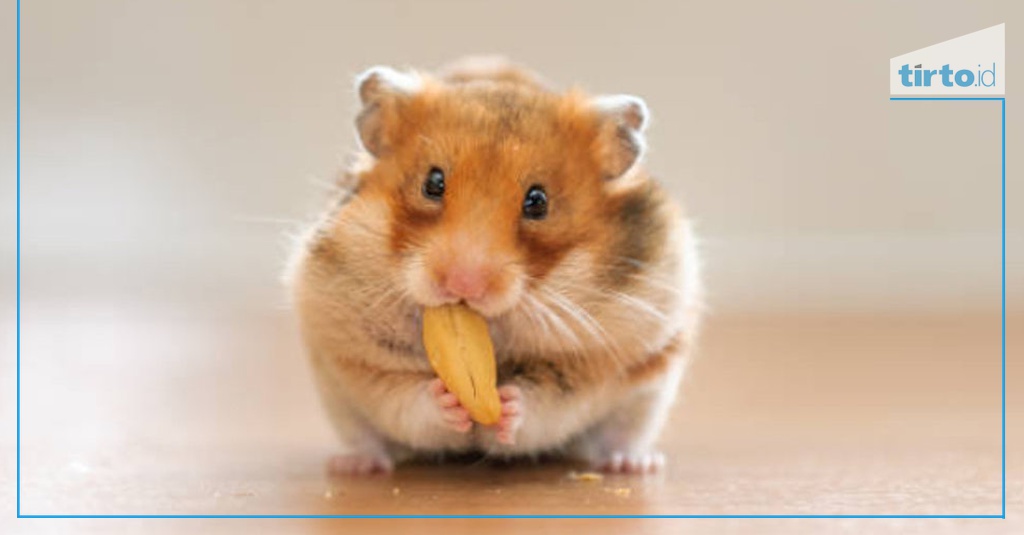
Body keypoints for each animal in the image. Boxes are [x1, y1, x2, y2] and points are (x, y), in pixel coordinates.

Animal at [285, 57, 703, 475]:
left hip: (647, 395)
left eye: (538, 201)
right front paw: (446, 400)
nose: (463, 286)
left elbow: (546, 401)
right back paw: (355, 465)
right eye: (432, 183)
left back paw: (634, 464)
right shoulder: (354, 357)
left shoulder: (596, 360)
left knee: (620, 436)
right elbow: (405, 397)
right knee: (367, 437)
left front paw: (507, 405)